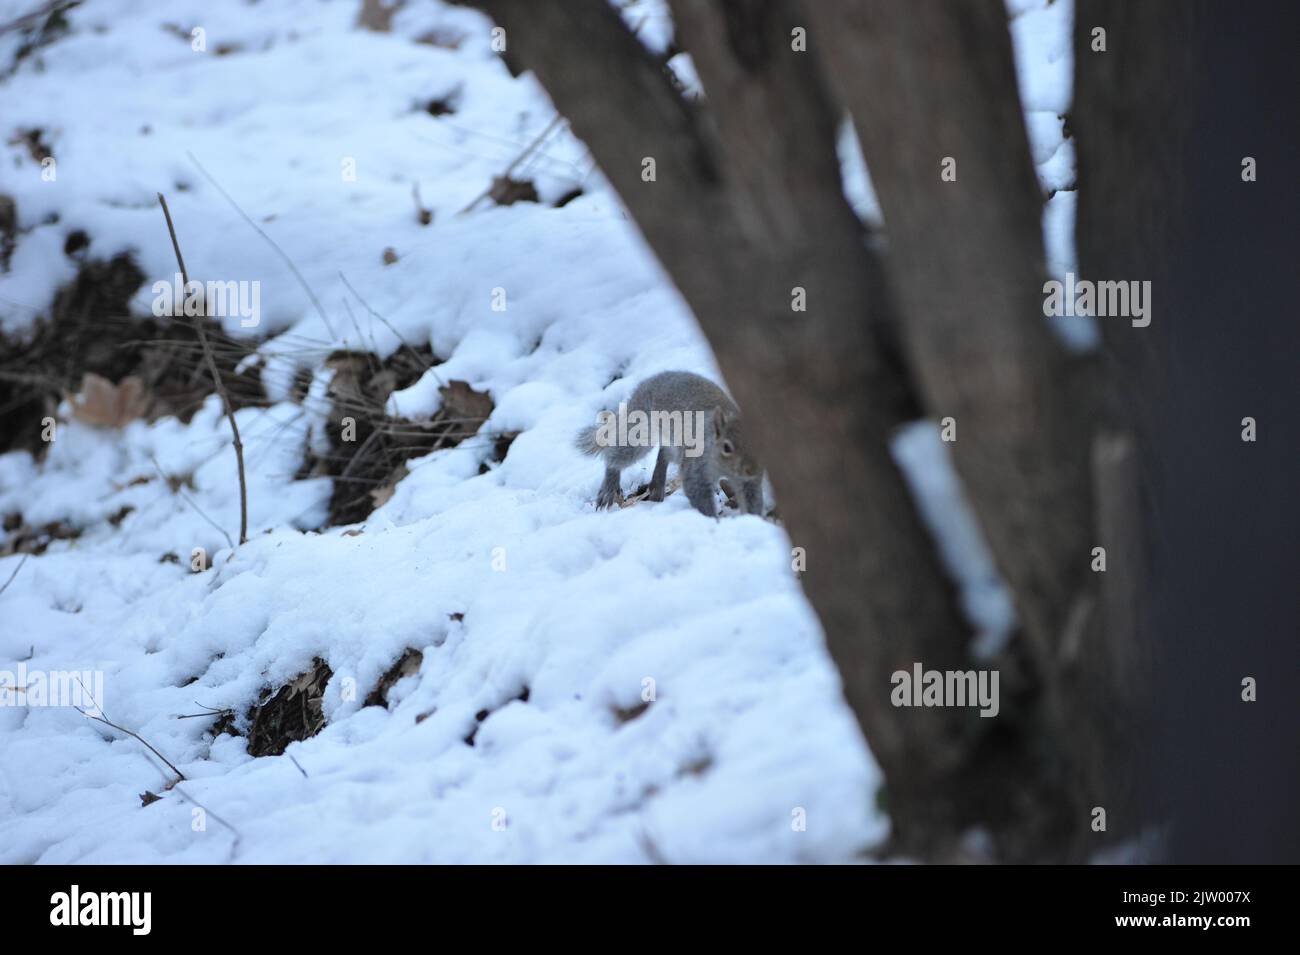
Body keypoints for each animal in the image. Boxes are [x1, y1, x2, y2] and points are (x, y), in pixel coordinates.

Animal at [575, 370, 764, 517]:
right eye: (726, 447)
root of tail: (645, 384)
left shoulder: (749, 482)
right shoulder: (696, 464)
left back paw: (657, 486)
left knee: (663, 454)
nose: (751, 469)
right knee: (616, 456)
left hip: (675, 446)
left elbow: (752, 498)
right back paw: (609, 488)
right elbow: (697, 491)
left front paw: (753, 520)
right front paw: (713, 519)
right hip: (640, 433)